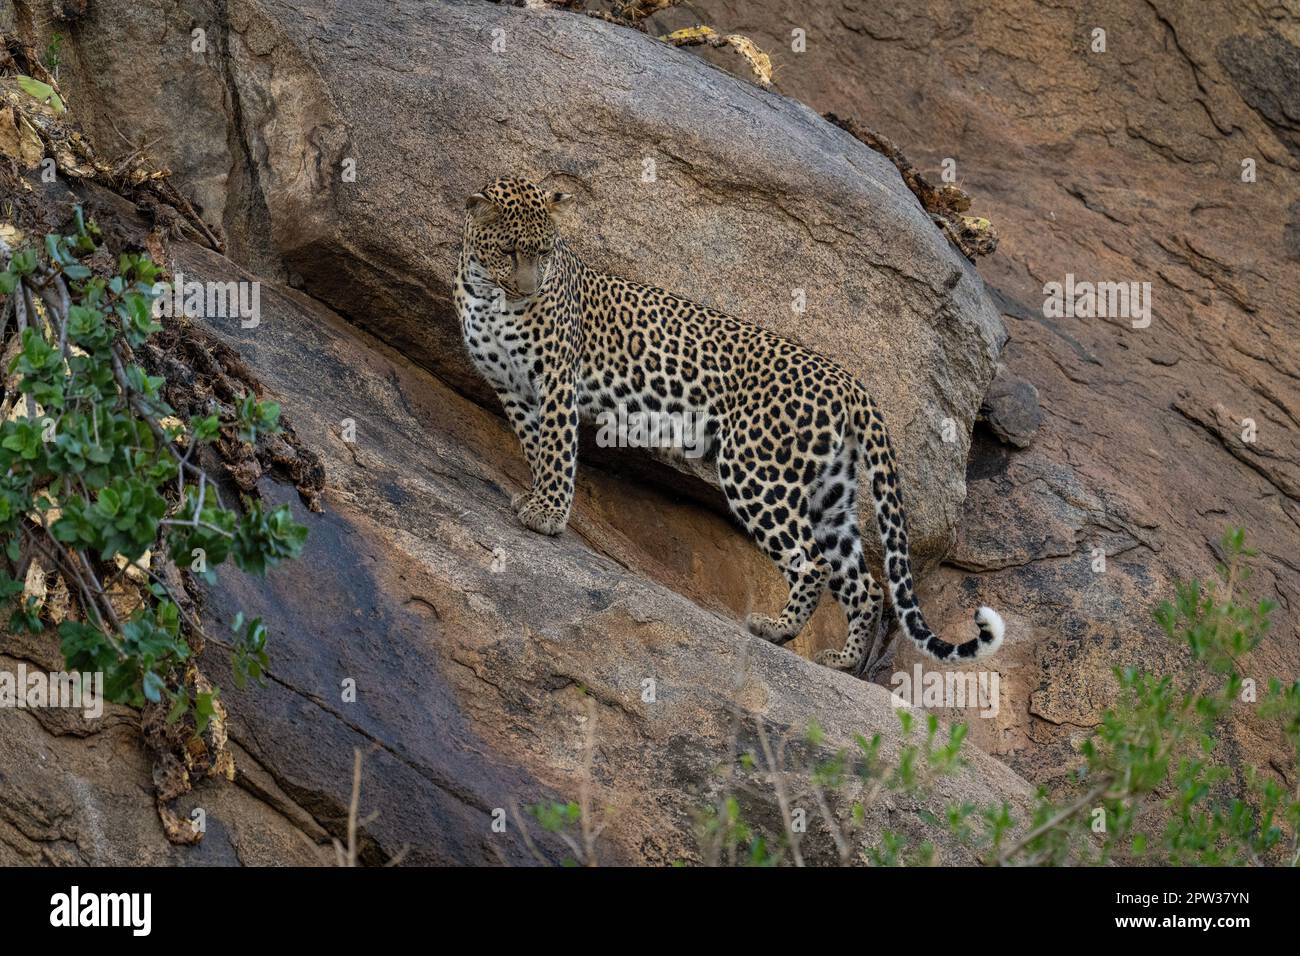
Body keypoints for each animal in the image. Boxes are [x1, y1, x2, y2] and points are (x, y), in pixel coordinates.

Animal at [453, 176, 1005, 671]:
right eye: (510, 251)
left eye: (546, 252)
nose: (528, 290)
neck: (487, 295)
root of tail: (851, 382)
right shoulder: (512, 390)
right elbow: (534, 447)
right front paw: (534, 498)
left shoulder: (555, 383)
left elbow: (556, 450)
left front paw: (547, 515)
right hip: (830, 493)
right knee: (862, 581)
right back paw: (843, 660)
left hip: (756, 470)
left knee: (813, 562)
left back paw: (776, 629)